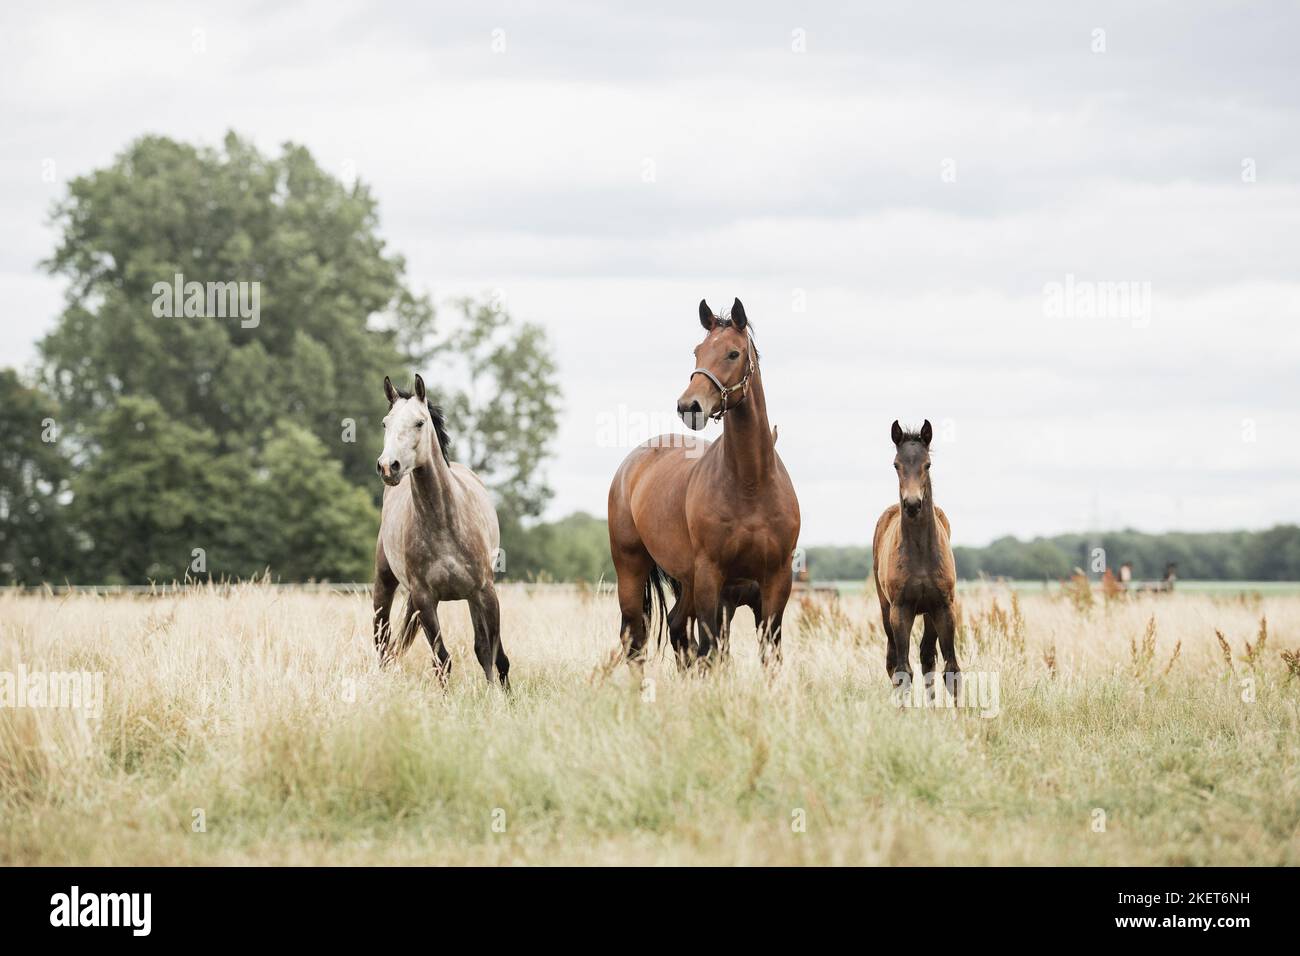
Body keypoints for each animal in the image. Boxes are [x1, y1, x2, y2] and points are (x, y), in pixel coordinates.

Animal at [372, 374, 509, 687]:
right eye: (385, 423)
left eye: (419, 422)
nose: (388, 467)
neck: (443, 522)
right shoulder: (425, 600)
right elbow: (442, 660)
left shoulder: (485, 592)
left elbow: (496, 656)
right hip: (384, 584)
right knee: (382, 643)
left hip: (471, 598)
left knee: (483, 649)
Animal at [607, 298, 801, 673]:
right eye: (697, 351)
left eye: (733, 353)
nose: (689, 407)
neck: (750, 485)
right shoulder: (713, 579)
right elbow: (711, 651)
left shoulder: (775, 581)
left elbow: (769, 653)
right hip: (631, 570)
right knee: (635, 638)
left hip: (687, 583)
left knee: (676, 627)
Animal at [871, 420, 961, 700]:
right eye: (896, 464)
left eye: (927, 464)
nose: (912, 504)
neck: (921, 554)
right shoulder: (901, 609)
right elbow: (902, 671)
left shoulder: (943, 607)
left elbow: (951, 669)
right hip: (886, 608)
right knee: (893, 661)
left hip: (929, 612)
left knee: (927, 657)